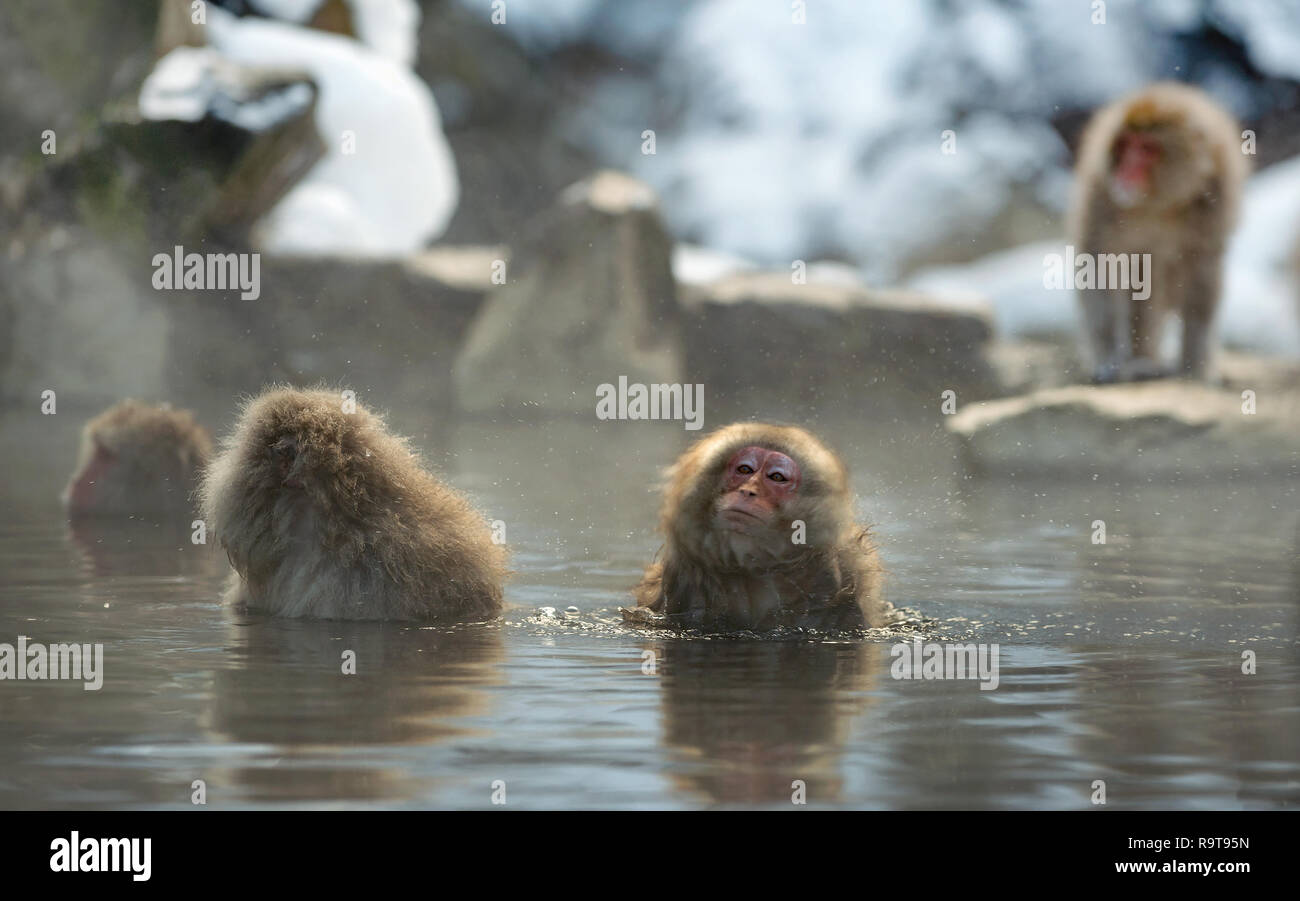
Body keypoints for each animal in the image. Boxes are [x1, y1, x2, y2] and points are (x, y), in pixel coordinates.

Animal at [1069, 82, 1248, 383]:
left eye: (1147, 148)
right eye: (1126, 144)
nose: (1125, 172)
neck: (1161, 204)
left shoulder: (1215, 201)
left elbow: (1202, 276)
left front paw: (1195, 366)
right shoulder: (1101, 195)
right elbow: (1097, 265)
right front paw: (1108, 361)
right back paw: (1143, 361)